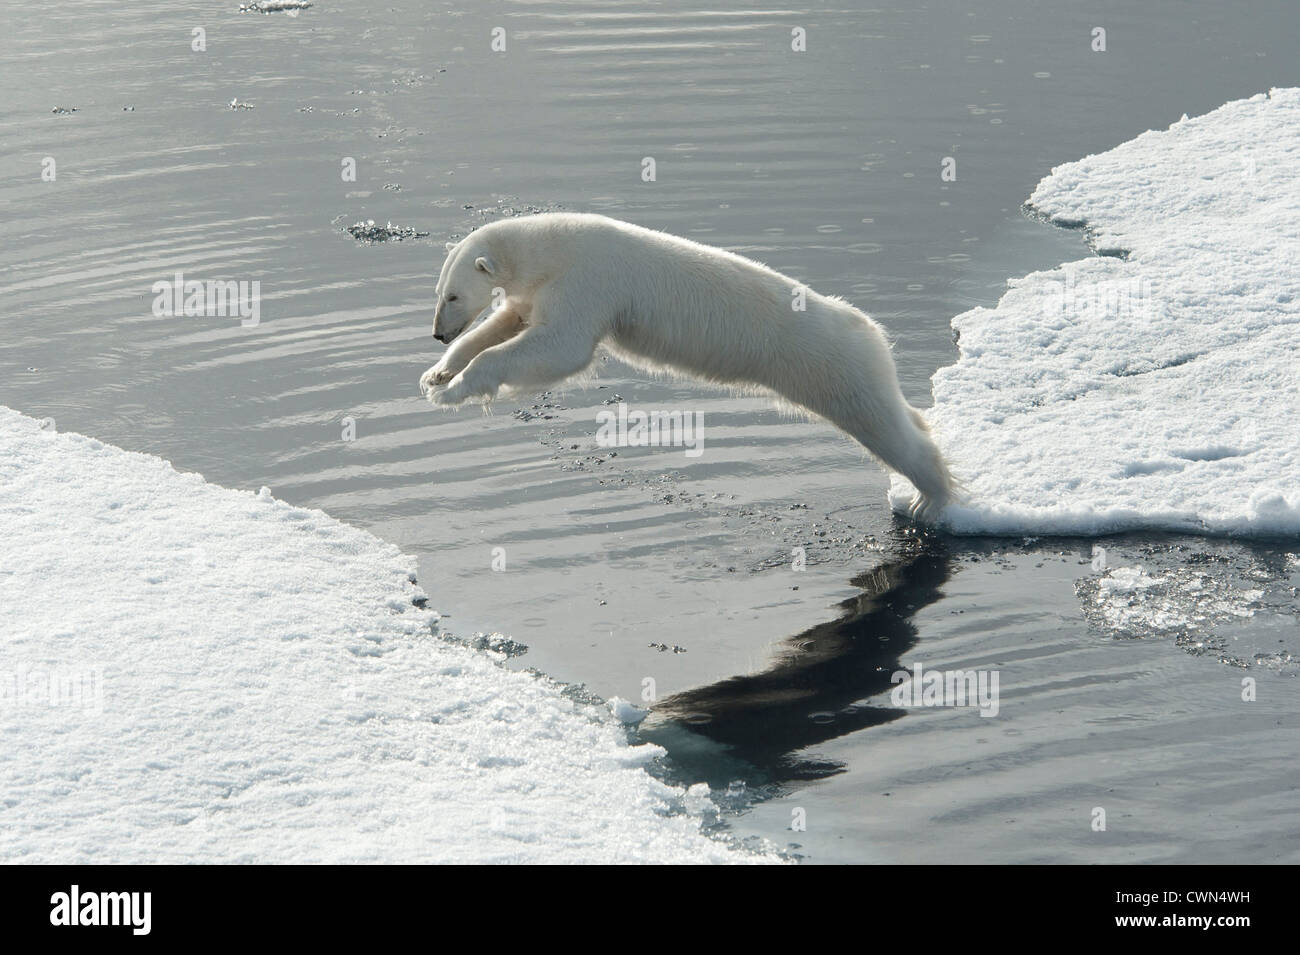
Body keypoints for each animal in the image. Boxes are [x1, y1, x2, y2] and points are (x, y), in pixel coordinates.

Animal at [419, 213, 955, 519]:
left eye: (453, 295)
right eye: (439, 292)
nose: (439, 332)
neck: (553, 247)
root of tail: (871, 332)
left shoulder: (587, 281)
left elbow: (561, 347)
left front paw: (453, 389)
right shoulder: (542, 288)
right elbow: (510, 321)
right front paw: (438, 374)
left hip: (832, 367)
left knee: (881, 425)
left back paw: (929, 497)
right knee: (899, 413)